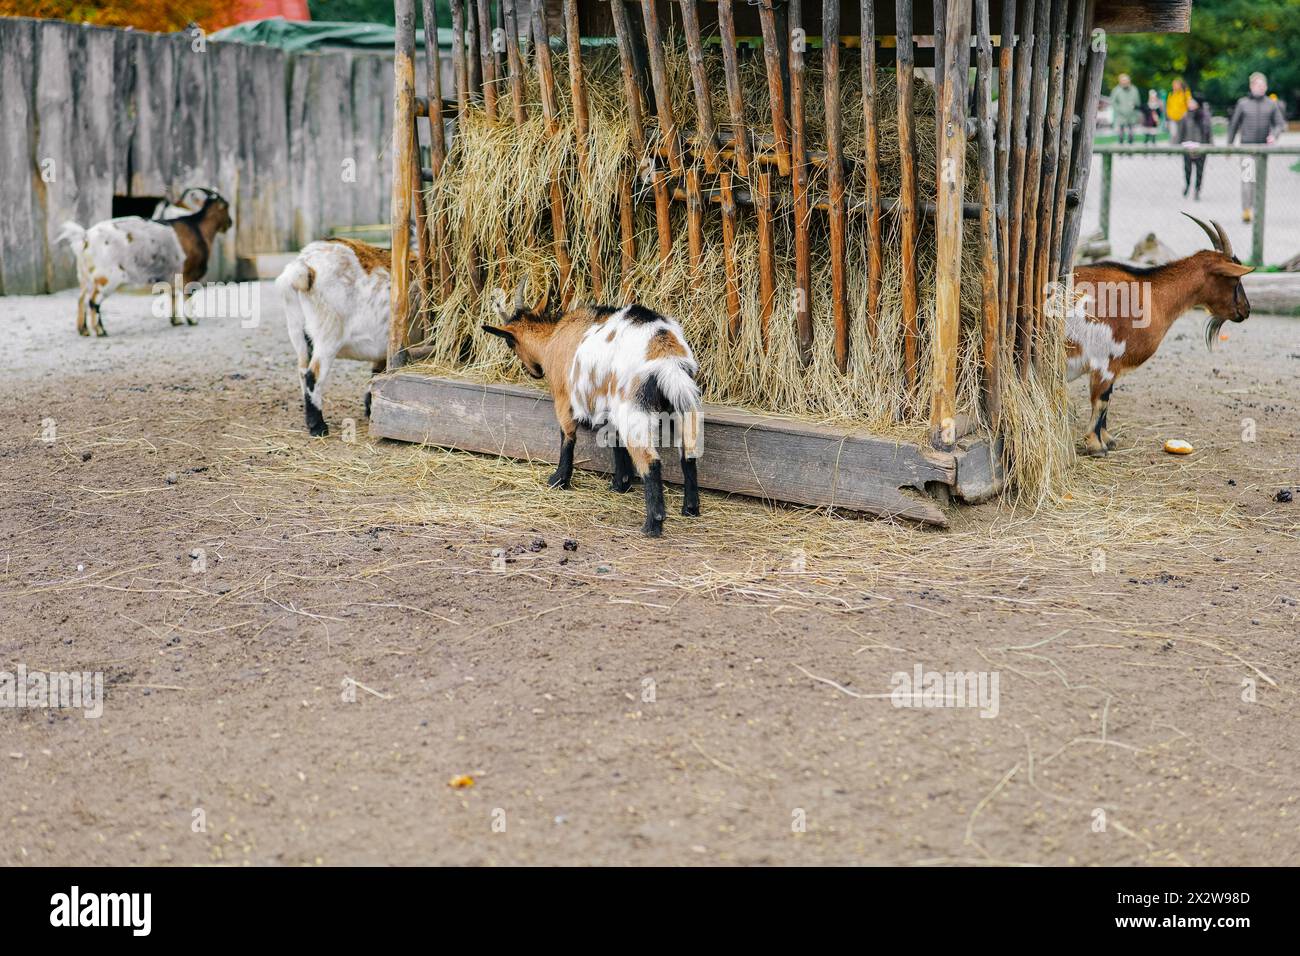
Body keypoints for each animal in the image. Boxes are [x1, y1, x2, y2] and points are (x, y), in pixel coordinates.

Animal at [58, 188, 232, 337]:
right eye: (226, 207)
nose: (230, 223)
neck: (198, 228)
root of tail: (85, 237)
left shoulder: (173, 277)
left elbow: (173, 296)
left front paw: (176, 321)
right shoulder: (189, 276)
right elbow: (187, 297)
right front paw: (193, 320)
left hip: (85, 277)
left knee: (81, 299)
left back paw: (84, 330)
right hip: (107, 279)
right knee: (93, 302)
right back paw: (101, 331)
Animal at [277, 238, 414, 437]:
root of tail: (305, 266)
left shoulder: (383, 350)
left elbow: (377, 374)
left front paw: (371, 408)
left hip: (298, 332)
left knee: (302, 372)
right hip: (328, 334)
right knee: (313, 375)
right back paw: (318, 426)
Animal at [483, 288, 703, 537]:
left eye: (510, 342)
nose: (534, 373)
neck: (554, 336)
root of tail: (667, 357)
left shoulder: (563, 397)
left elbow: (567, 436)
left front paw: (558, 480)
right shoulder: (609, 408)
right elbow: (616, 443)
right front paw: (620, 484)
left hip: (633, 407)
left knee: (651, 460)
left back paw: (652, 525)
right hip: (681, 405)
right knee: (688, 454)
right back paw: (690, 509)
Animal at [1069, 213, 1253, 456]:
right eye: (1235, 279)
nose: (1246, 310)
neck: (1150, 295)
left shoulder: (1111, 367)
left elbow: (1107, 400)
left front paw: (1107, 439)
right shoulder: (1105, 363)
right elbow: (1102, 400)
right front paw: (1096, 446)